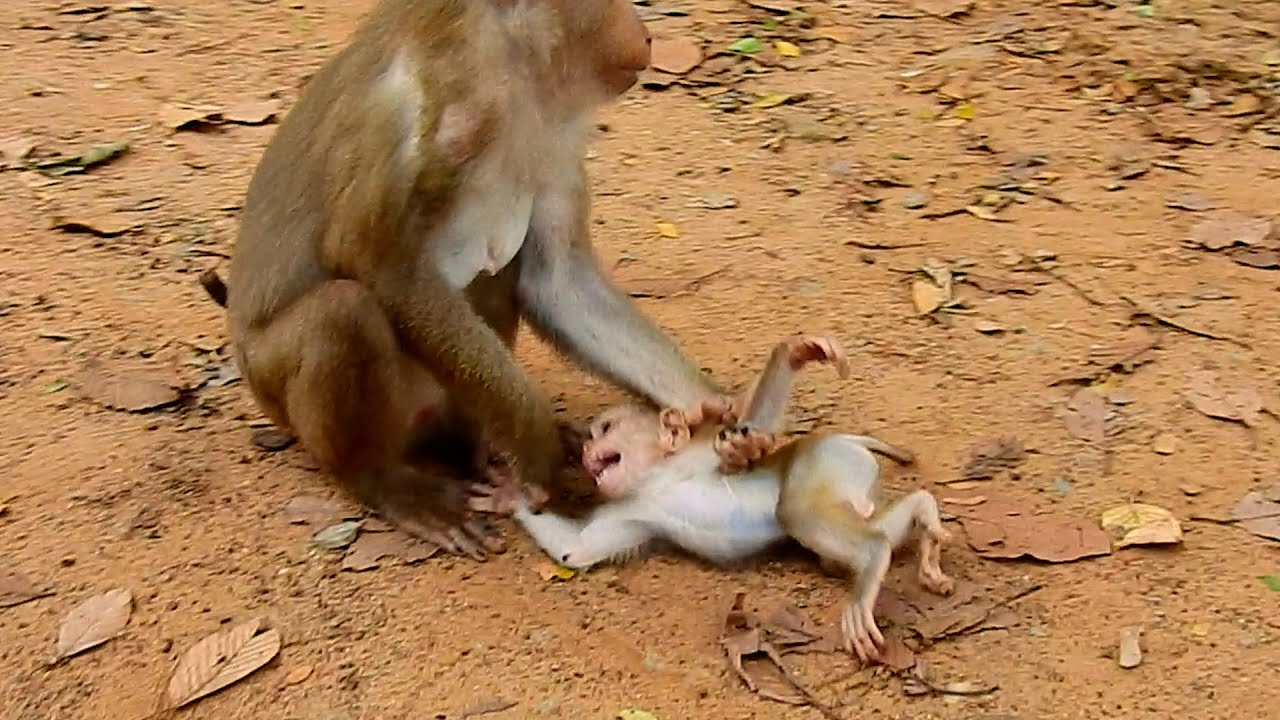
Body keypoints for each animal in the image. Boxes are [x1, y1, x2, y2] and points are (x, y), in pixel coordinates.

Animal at [219, 0, 762, 560]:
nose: (646, 32)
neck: (510, 71)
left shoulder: (551, 137)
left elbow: (557, 279)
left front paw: (712, 407)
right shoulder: (432, 109)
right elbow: (378, 262)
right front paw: (542, 456)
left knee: (499, 270)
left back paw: (473, 445)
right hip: (285, 391)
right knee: (342, 310)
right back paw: (387, 483)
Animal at [472, 335, 955, 661]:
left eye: (604, 430)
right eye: (591, 437)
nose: (588, 451)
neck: (655, 481)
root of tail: (841, 440)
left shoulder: (699, 455)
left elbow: (748, 433)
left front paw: (794, 354)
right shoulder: (630, 510)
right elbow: (576, 551)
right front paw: (508, 497)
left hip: (824, 463)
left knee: (805, 515)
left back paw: (874, 560)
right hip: (849, 478)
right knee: (859, 536)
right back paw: (924, 522)